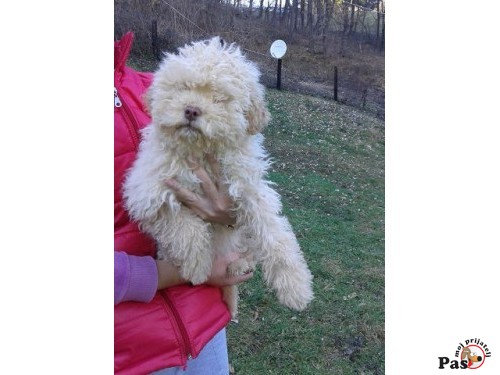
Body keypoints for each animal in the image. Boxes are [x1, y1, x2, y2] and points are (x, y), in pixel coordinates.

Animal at [124, 36, 312, 318]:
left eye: (219, 98)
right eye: (183, 87)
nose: (191, 110)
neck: (201, 152)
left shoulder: (250, 189)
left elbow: (276, 236)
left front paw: (296, 287)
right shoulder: (147, 192)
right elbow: (187, 227)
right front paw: (198, 267)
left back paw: (239, 266)